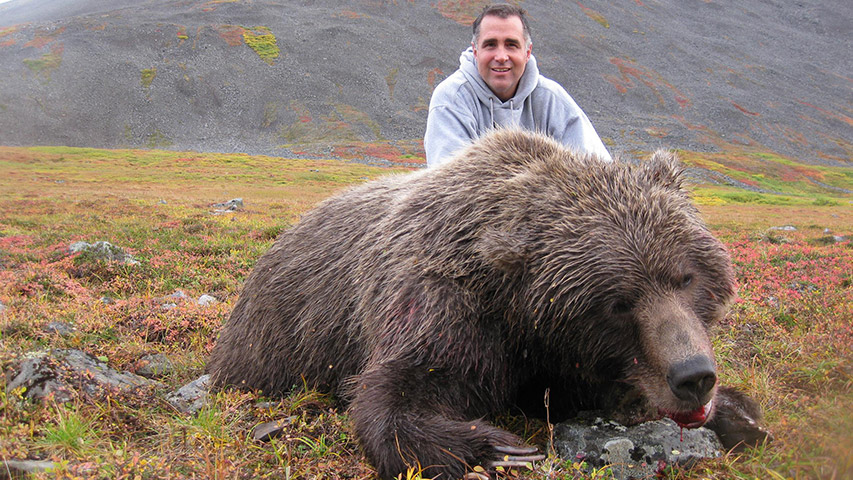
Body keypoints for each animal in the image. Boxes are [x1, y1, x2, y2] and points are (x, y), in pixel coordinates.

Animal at [207, 129, 769, 479]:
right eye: (618, 303)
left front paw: (739, 412)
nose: (693, 375)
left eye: (686, 277)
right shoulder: (441, 305)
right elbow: (394, 391)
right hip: (272, 338)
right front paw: (500, 449)